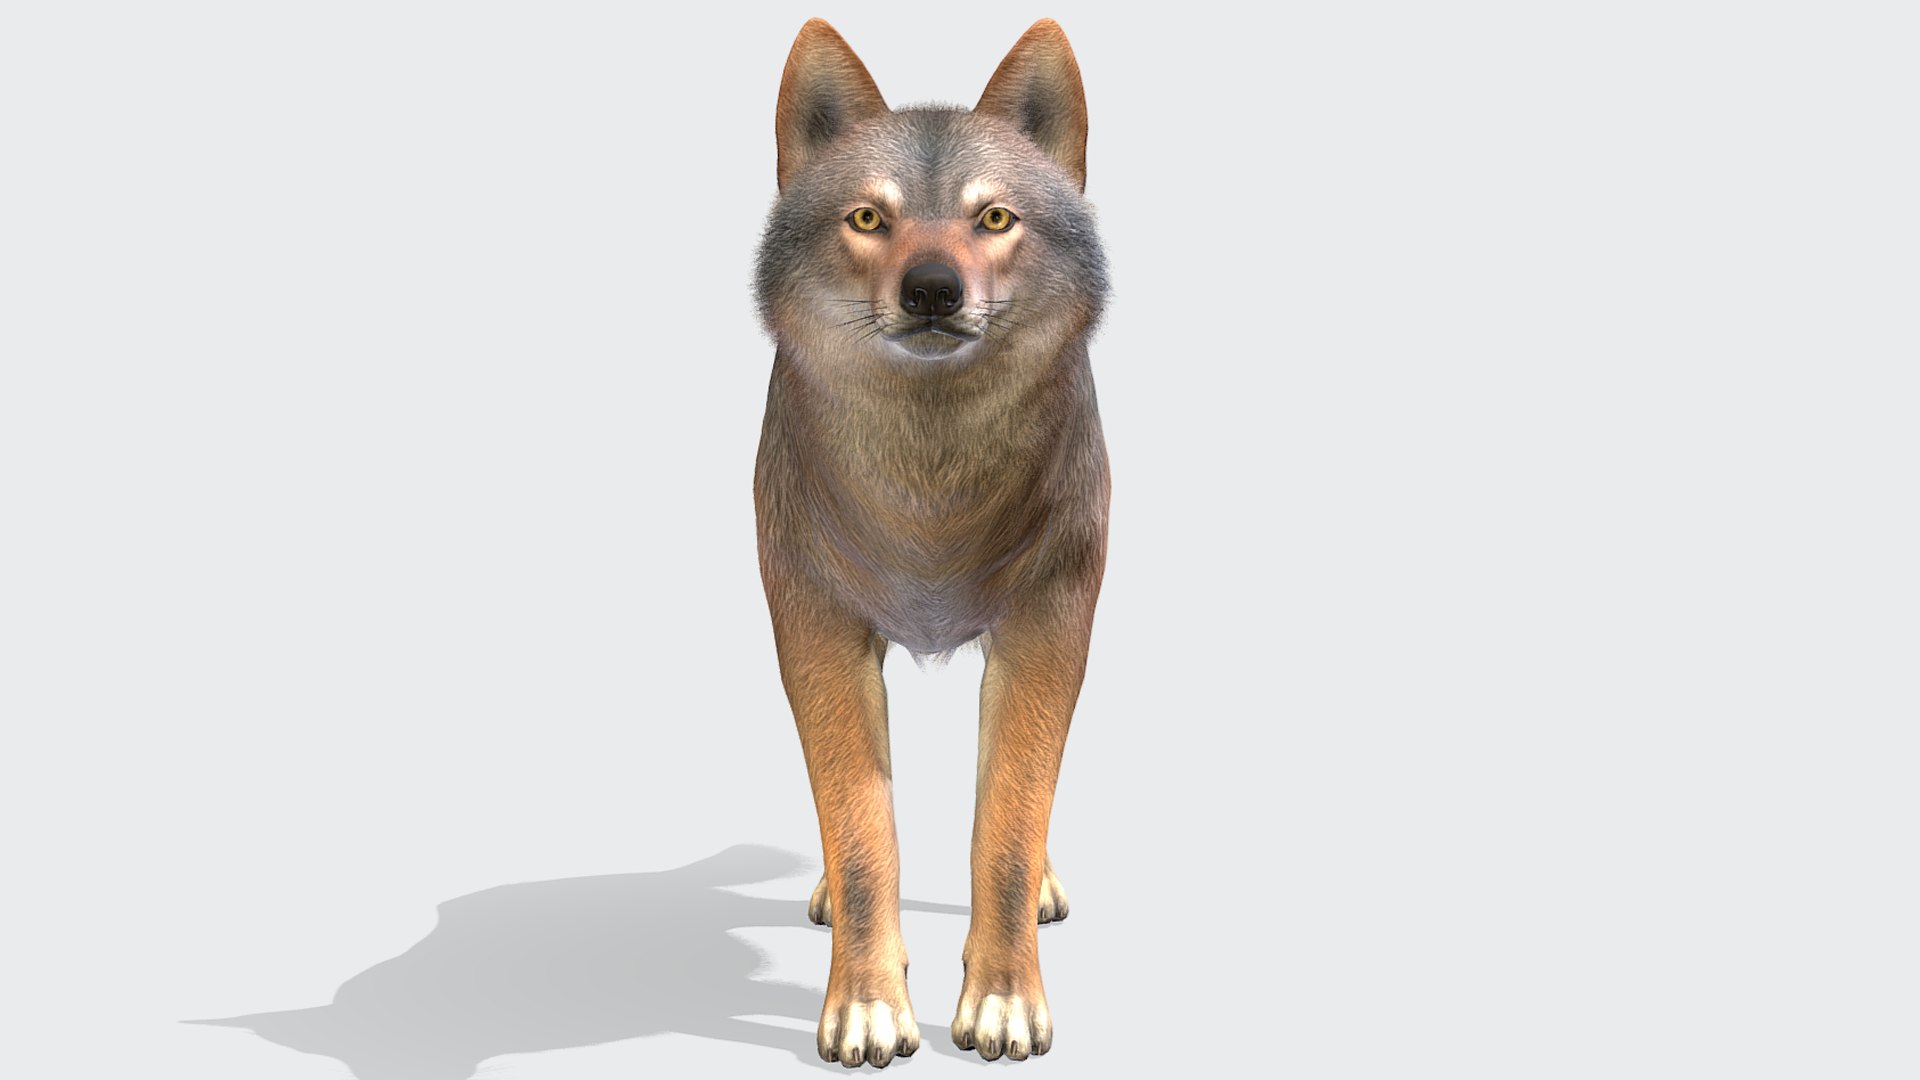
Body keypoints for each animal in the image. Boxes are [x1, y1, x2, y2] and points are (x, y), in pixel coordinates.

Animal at [752, 17, 1110, 1068]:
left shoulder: (1047, 630)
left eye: (992, 219)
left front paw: (1002, 1001)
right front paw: (869, 1005)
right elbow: (863, 829)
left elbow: (1008, 823)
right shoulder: (819, 633)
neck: (930, 496)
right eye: (871, 219)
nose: (933, 289)